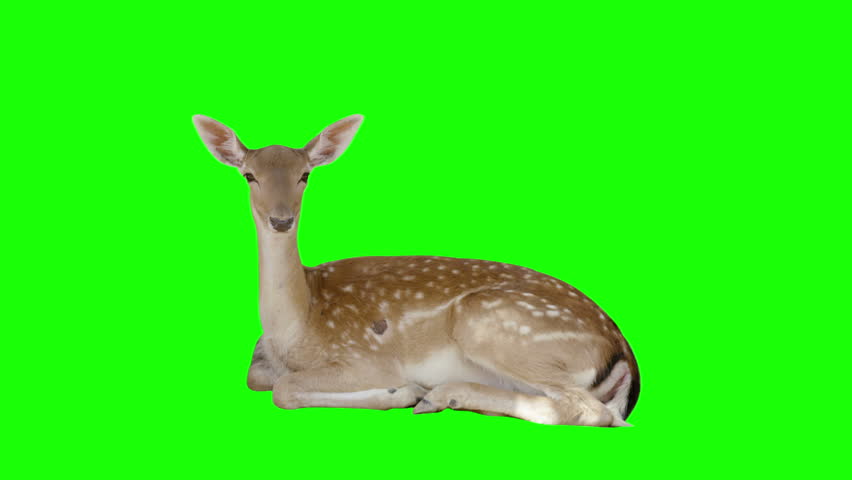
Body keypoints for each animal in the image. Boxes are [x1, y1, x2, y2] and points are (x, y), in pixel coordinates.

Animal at [193, 114, 640, 426]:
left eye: (305, 174)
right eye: (249, 175)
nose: (281, 220)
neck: (296, 326)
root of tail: (623, 352)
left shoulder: (363, 357)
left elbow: (284, 389)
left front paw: (398, 391)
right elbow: (257, 377)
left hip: (494, 323)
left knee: (589, 410)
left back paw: (433, 395)